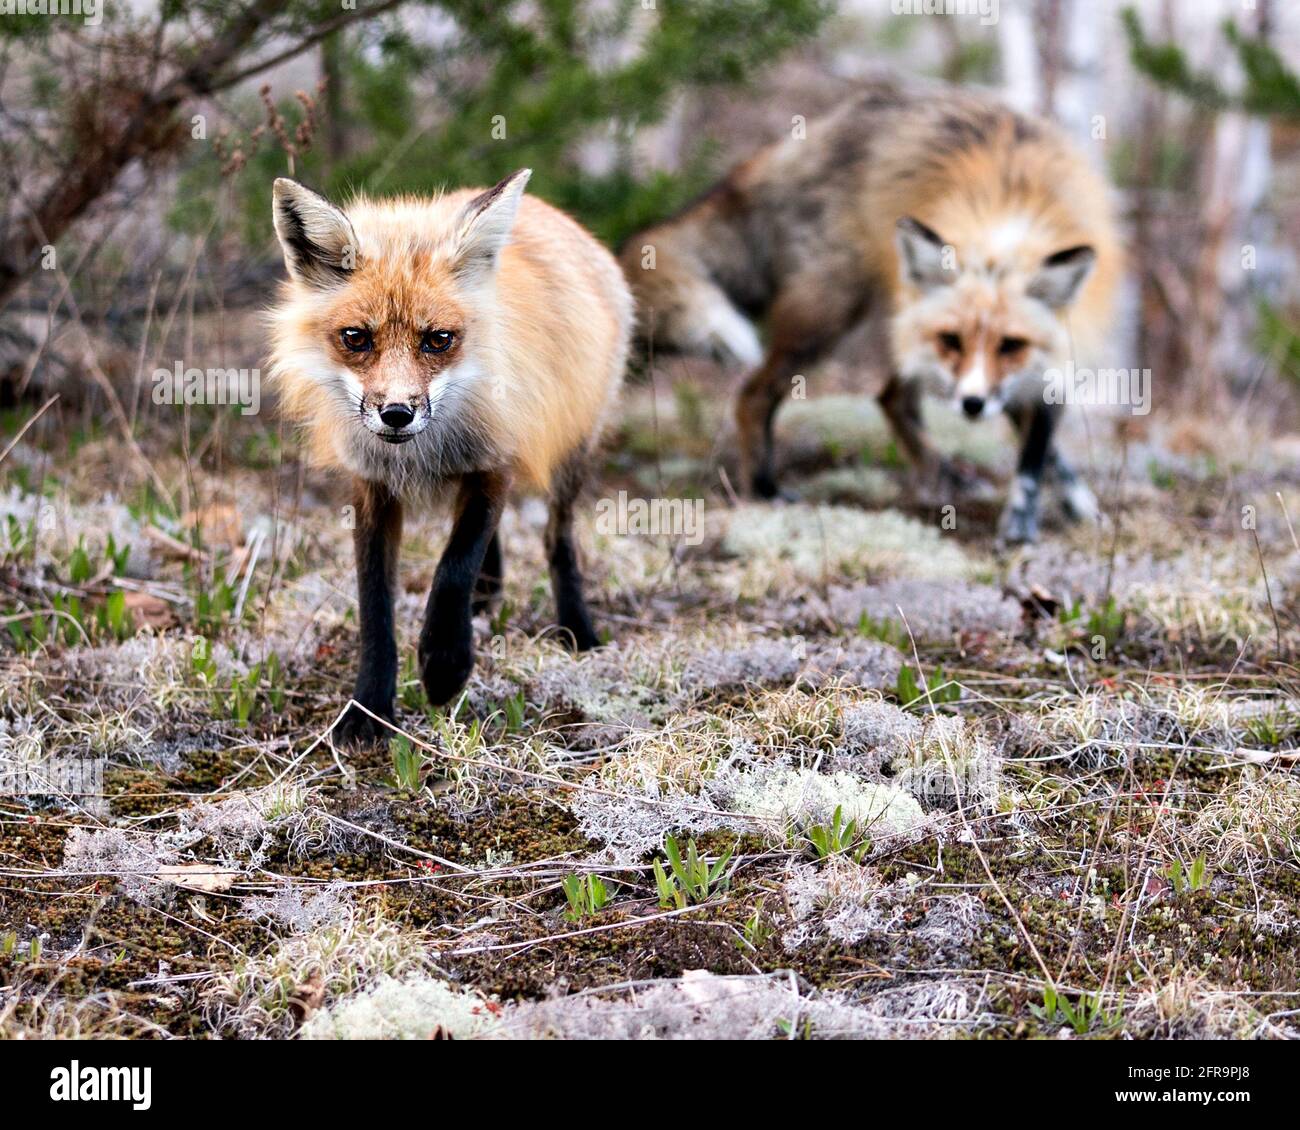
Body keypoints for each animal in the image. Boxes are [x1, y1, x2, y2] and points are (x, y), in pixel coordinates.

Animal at [269, 169, 631, 744]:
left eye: (438, 340)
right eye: (355, 338)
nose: (396, 413)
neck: (421, 452)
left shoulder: (497, 458)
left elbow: (455, 563)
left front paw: (444, 664)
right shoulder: (371, 488)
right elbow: (375, 604)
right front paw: (368, 709)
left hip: (572, 448)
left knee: (556, 539)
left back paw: (577, 628)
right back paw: (488, 597)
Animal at [621, 82, 1121, 543]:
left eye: (1011, 345)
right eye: (953, 339)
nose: (972, 405)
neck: (1003, 225)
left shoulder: (1050, 360)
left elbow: (1038, 451)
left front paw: (1060, 505)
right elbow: (1033, 451)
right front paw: (1021, 526)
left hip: (897, 319)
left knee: (891, 399)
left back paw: (940, 472)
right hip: (833, 313)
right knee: (756, 396)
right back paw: (765, 489)